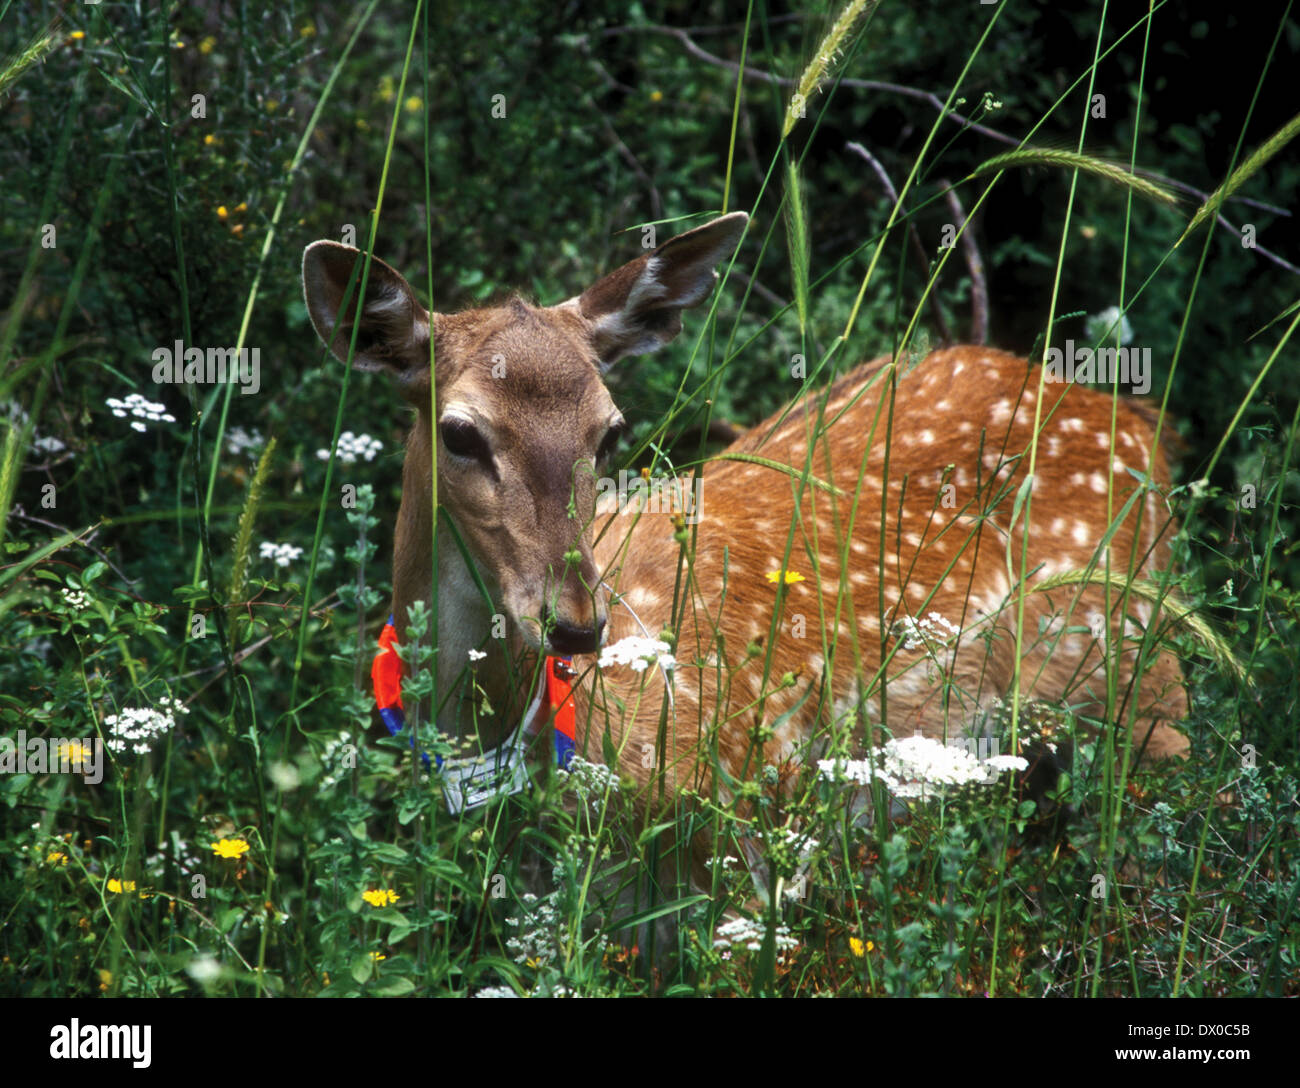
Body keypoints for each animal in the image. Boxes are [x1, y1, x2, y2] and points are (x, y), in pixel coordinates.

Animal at [302, 211, 1189, 879]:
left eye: (610, 431)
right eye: (460, 432)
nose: (576, 624)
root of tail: (1138, 421)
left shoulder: (749, 822)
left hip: (1135, 674)